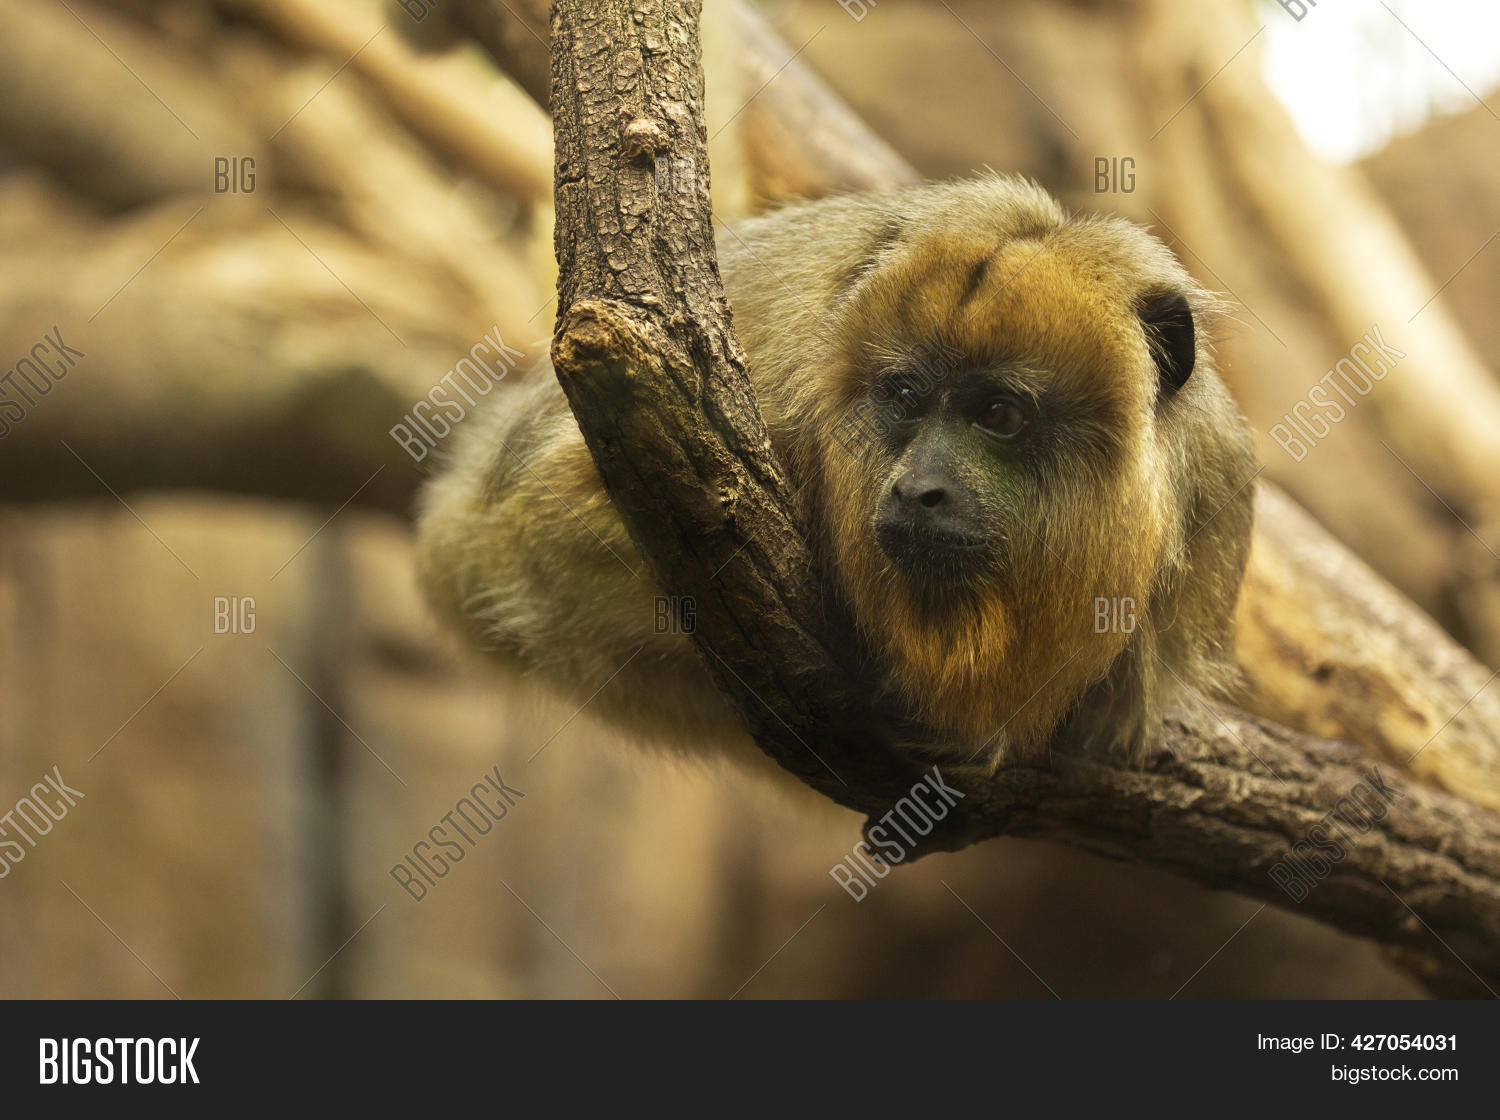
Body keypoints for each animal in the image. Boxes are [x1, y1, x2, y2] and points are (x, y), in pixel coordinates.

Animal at [415, 174, 1257, 776]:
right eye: (905, 397)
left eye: (999, 414)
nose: (918, 490)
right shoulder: (780, 388)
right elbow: (560, 510)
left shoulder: (1214, 488)